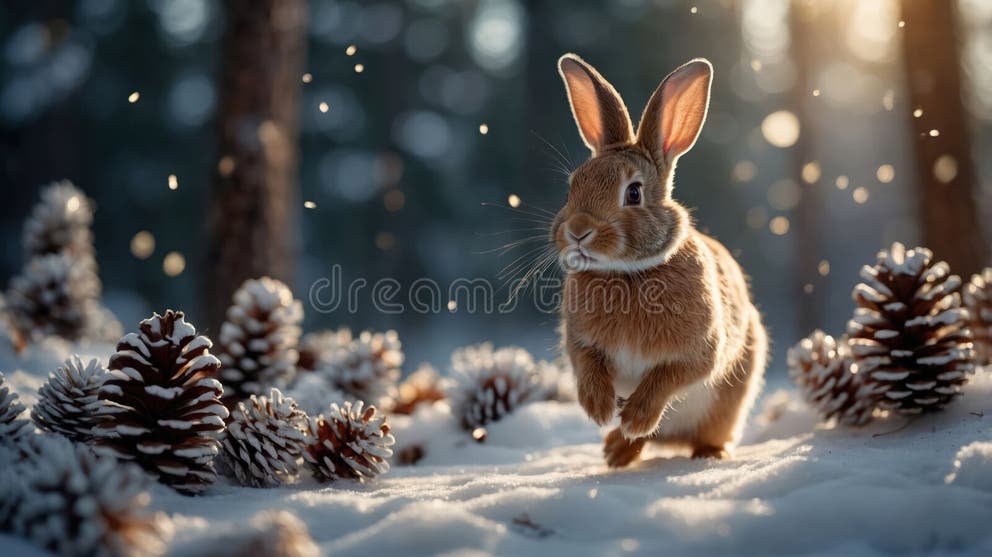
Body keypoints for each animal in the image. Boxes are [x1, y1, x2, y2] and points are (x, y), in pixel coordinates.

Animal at [551, 54, 768, 467]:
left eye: (633, 192)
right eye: (572, 185)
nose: (578, 230)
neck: (627, 273)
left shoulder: (700, 350)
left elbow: (667, 378)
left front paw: (635, 416)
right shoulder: (581, 342)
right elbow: (588, 365)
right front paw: (599, 408)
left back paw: (705, 453)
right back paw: (616, 451)